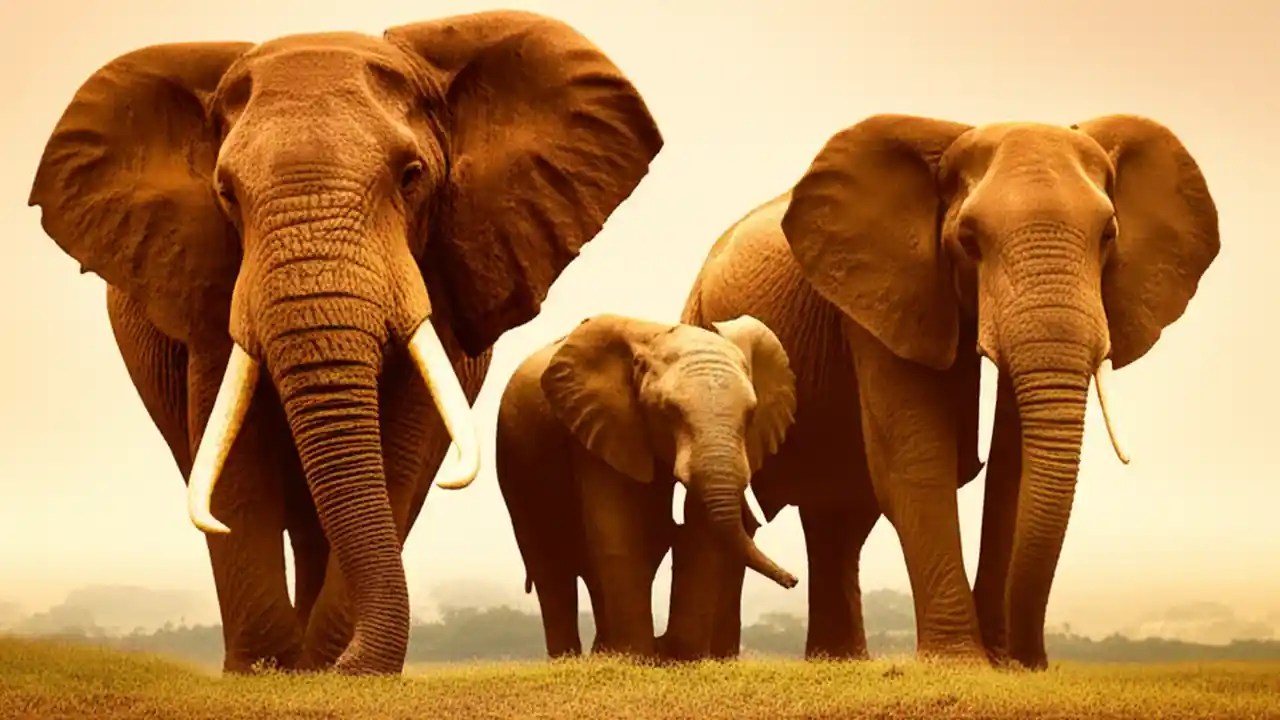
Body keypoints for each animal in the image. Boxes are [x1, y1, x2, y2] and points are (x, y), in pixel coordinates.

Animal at [28, 11, 663, 675]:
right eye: (225, 193)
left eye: (411, 178)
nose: (339, 666)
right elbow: (236, 453)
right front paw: (265, 669)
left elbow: (401, 443)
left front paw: (327, 663)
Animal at [494, 313, 799, 660]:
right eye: (669, 411)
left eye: (750, 414)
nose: (793, 580)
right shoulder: (600, 425)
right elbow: (620, 531)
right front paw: (636, 659)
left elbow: (698, 529)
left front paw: (672, 658)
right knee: (550, 565)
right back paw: (572, 659)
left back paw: (605, 652)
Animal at [681, 114, 1219, 669]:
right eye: (969, 239)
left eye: (1109, 235)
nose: (1028, 659)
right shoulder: (882, 291)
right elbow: (917, 457)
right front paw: (964, 662)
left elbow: (1013, 465)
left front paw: (1001, 664)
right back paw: (709, 660)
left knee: (837, 520)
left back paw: (838, 661)